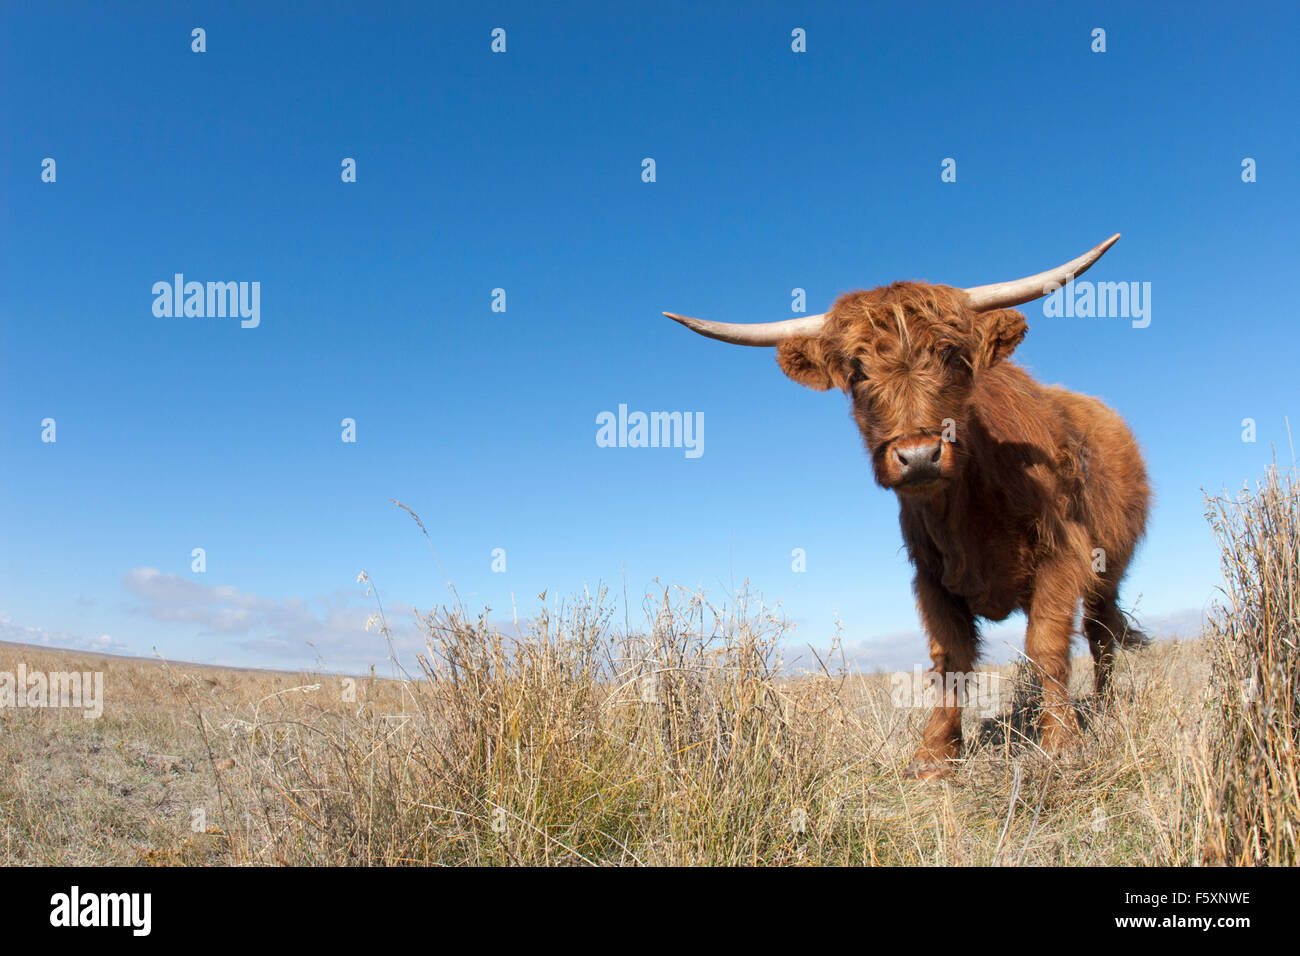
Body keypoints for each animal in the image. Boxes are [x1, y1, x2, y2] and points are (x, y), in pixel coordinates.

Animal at [664, 235, 1150, 779]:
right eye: (856, 372)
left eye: (953, 356)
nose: (918, 455)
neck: (971, 513)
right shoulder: (931, 578)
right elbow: (950, 658)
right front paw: (935, 753)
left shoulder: (1063, 554)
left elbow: (1046, 648)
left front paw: (1062, 741)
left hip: (1109, 567)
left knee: (1100, 634)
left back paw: (1104, 706)